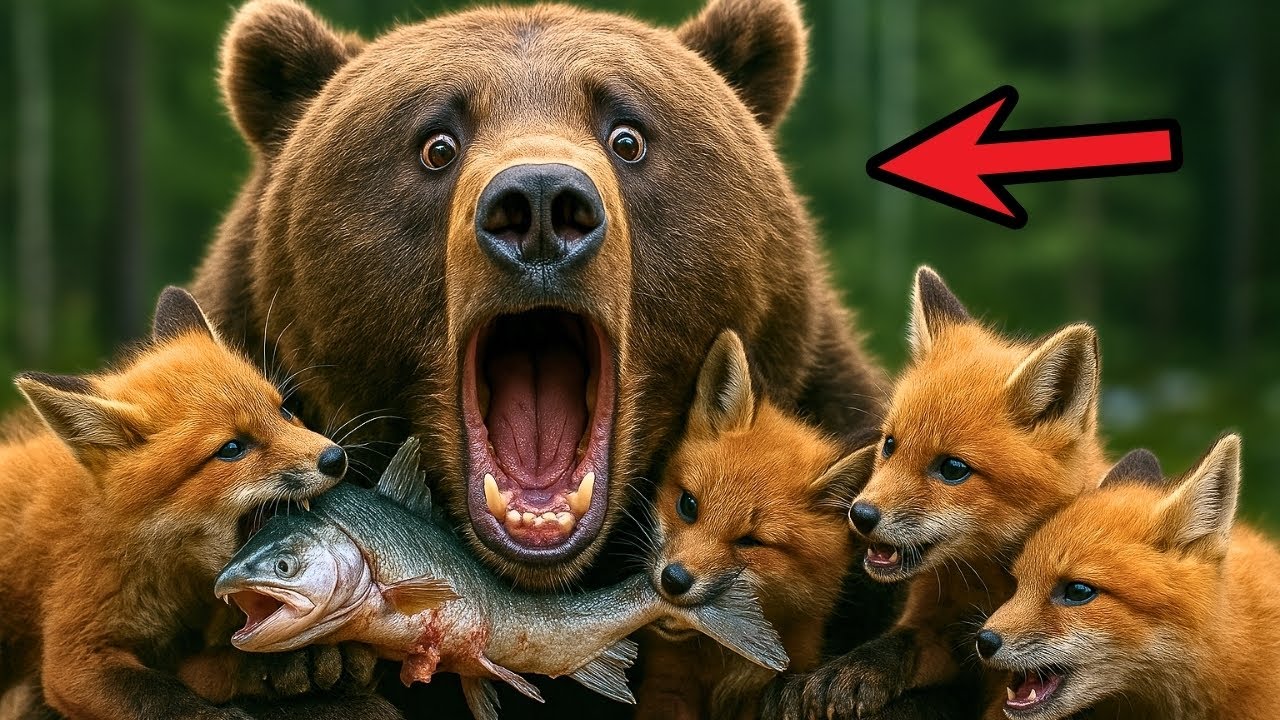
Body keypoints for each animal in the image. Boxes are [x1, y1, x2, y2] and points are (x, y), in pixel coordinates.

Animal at [0, 288, 351, 719]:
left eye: (284, 411)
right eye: (232, 449)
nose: (335, 458)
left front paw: (282, 663)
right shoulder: (75, 654)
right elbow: (162, 698)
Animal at [770, 267, 1109, 719]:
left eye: (952, 469)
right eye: (889, 445)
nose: (859, 515)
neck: (989, 586)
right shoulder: (939, 623)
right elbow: (896, 645)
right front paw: (842, 672)